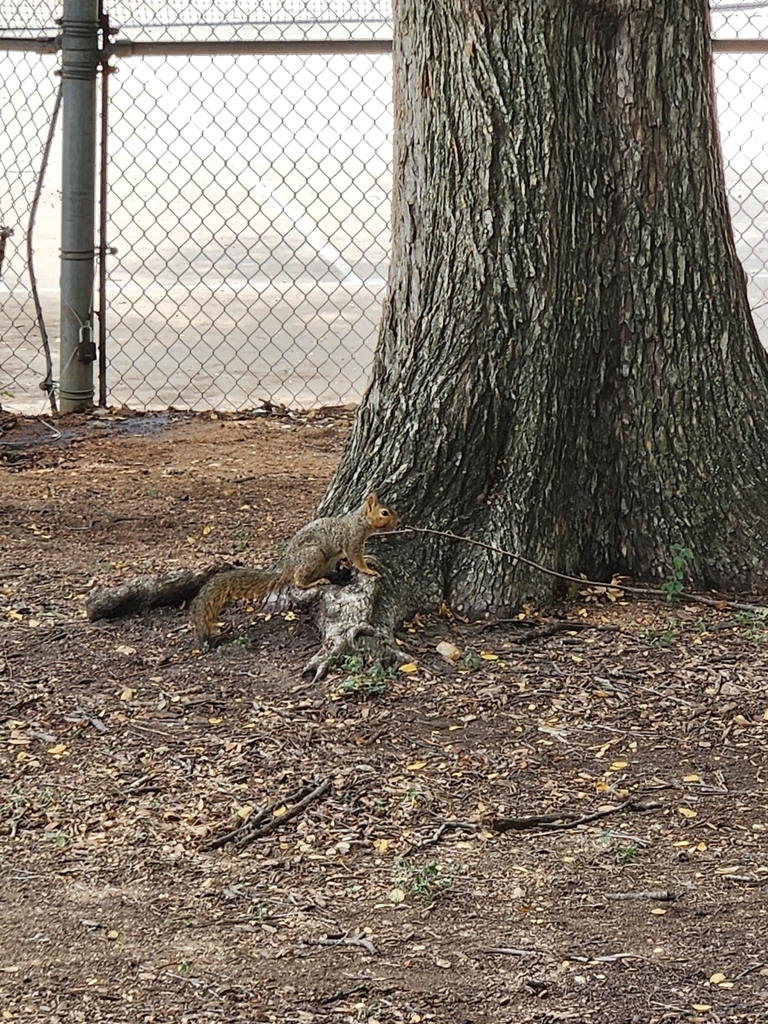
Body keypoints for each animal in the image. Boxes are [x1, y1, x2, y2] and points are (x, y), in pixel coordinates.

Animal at [190, 493, 399, 645]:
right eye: (384, 513)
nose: (397, 522)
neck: (360, 521)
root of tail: (287, 569)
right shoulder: (352, 541)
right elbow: (356, 559)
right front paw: (369, 570)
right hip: (313, 555)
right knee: (299, 581)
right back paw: (316, 581)